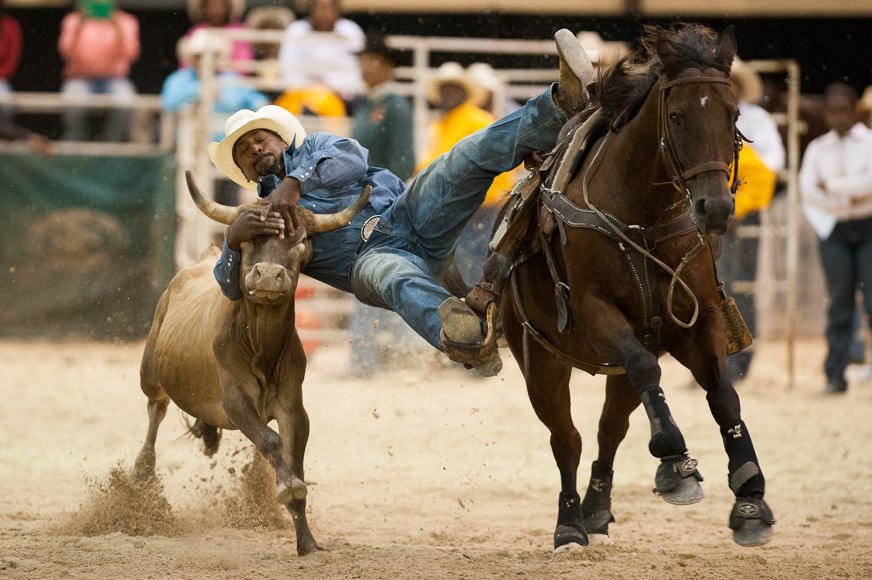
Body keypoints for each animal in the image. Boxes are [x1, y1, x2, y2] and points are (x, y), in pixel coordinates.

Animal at [499, 24, 775, 552]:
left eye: (733, 114)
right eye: (676, 115)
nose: (715, 208)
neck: (641, 219)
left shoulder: (695, 321)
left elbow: (722, 393)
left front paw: (750, 497)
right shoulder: (595, 314)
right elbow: (648, 371)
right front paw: (676, 461)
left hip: (618, 369)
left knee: (610, 430)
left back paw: (597, 511)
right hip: (542, 362)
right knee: (567, 439)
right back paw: (570, 525)